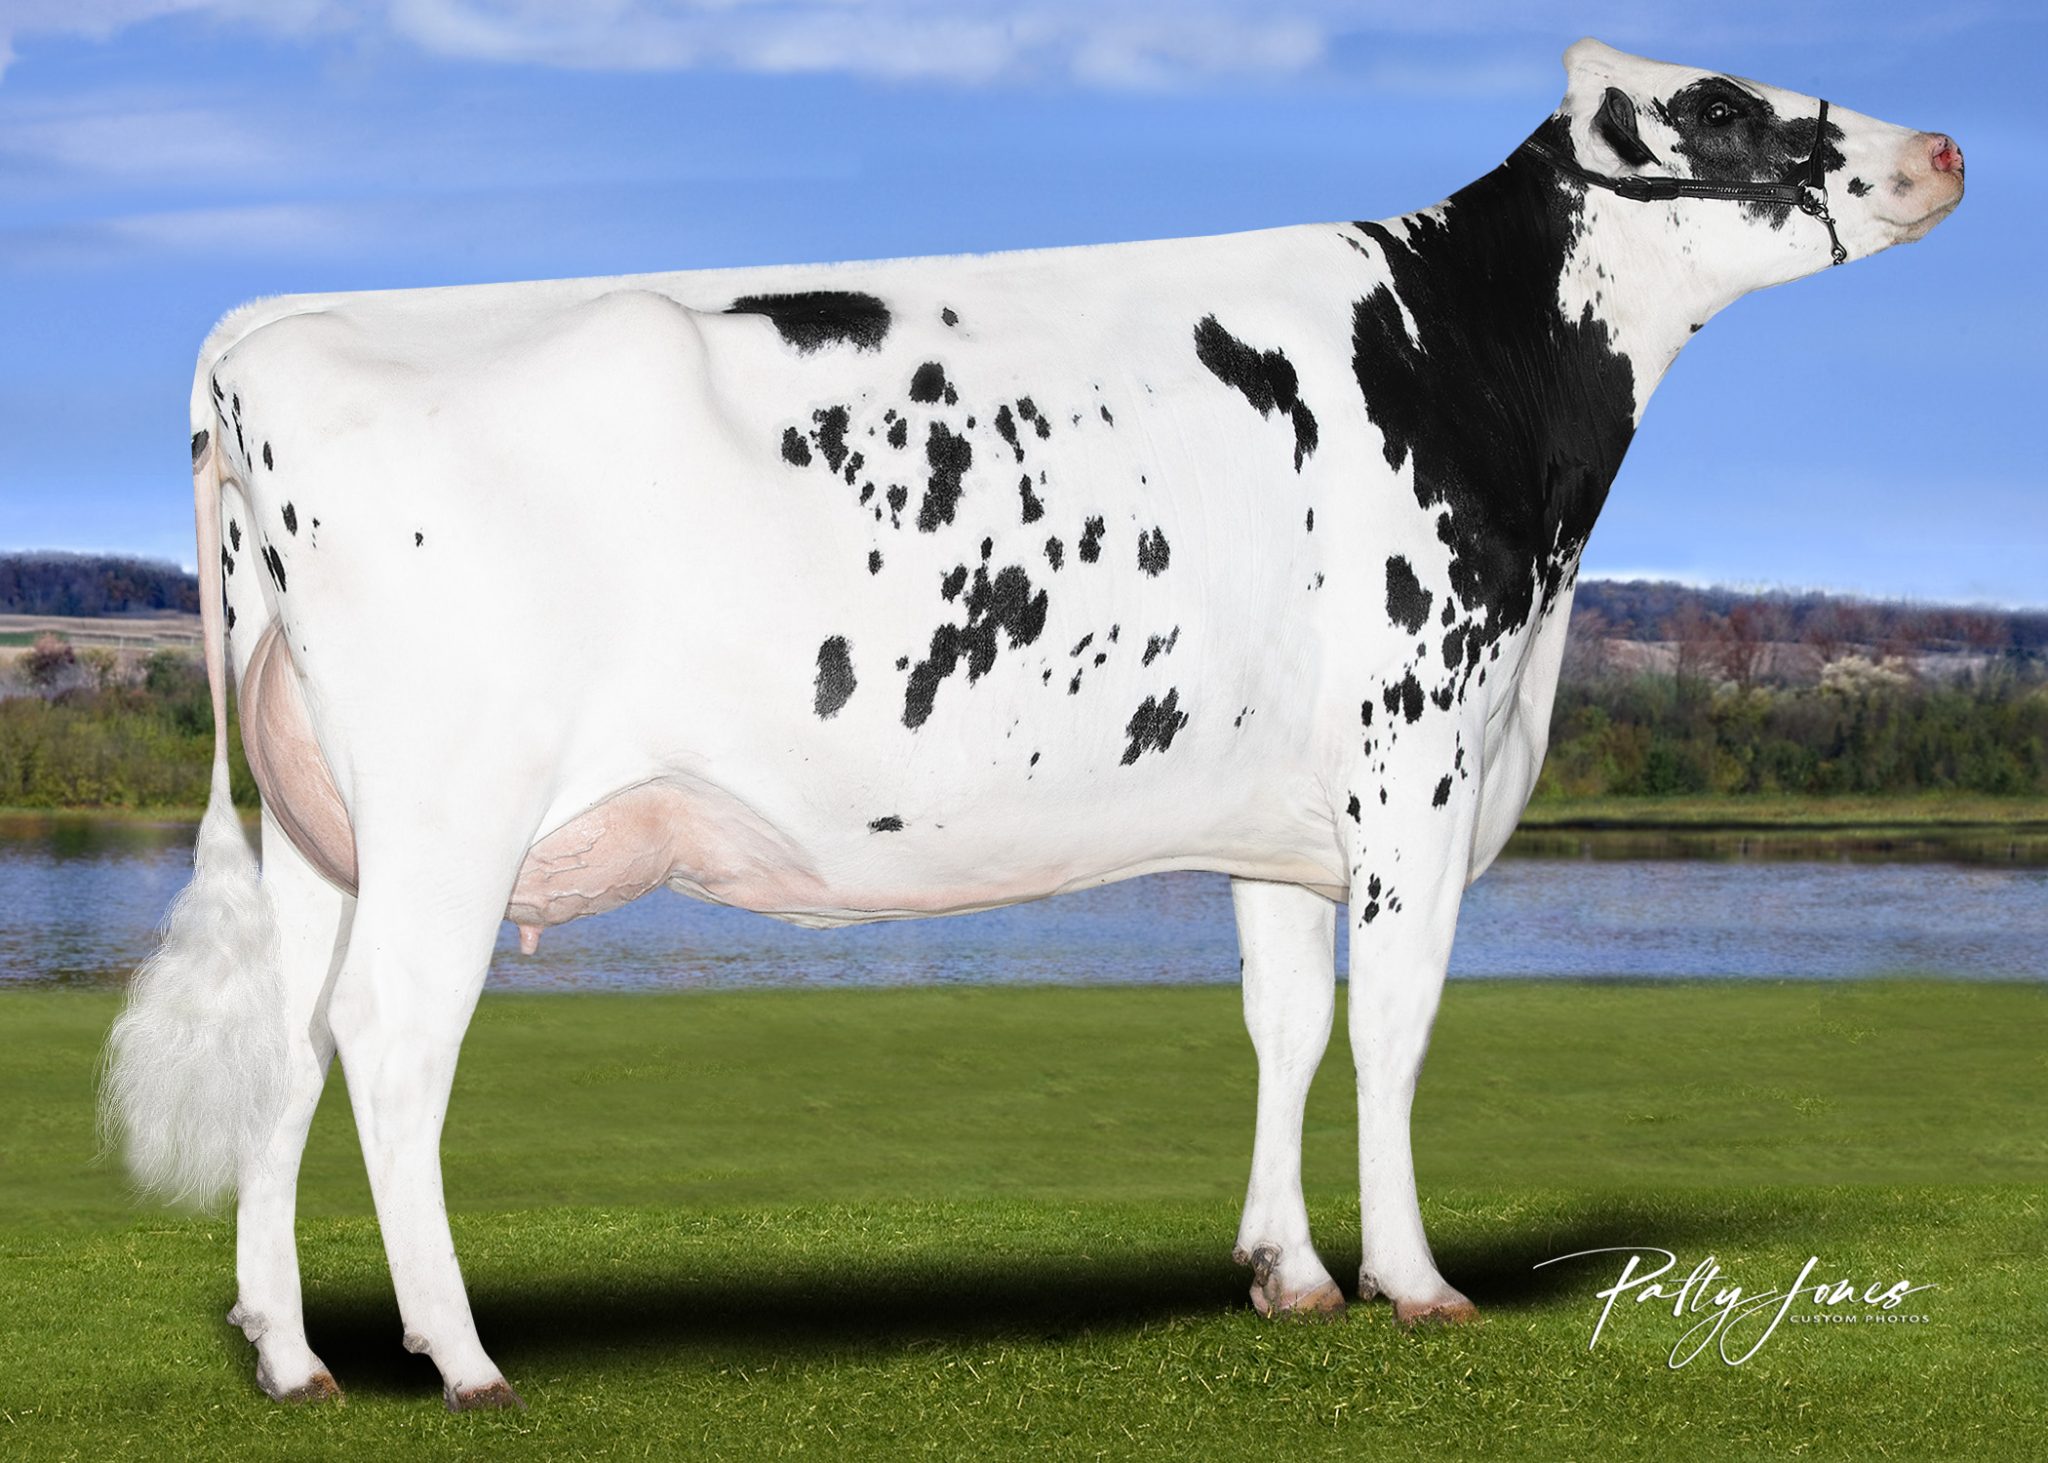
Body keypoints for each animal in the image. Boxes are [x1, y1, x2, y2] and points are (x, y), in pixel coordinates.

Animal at [104, 38, 1962, 1409]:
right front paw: (1414, 1281)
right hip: (449, 814)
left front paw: (1286, 1271)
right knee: (389, 1044)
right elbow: (1391, 1030)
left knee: (291, 1037)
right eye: (1722, 108)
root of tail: (269, 333)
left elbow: (1283, 1024)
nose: (1943, 146)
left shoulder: (1282, 819)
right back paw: (463, 1356)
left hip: (326, 830)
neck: (1465, 374)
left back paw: (290, 1356)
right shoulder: (1415, 768)